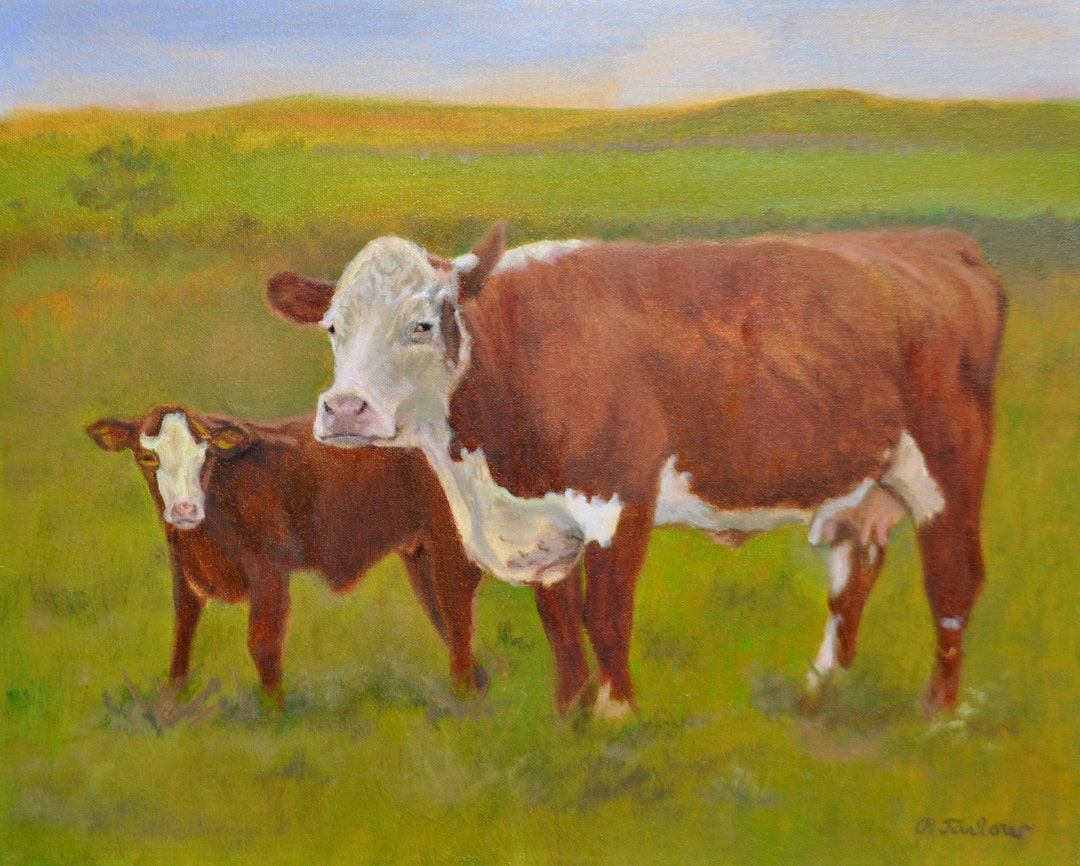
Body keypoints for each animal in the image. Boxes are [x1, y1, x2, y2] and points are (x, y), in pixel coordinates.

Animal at [86, 406, 489, 705]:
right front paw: (173, 702)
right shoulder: (184, 569)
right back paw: (477, 687)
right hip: (421, 555)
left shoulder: (268, 566)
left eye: (205, 455)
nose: (184, 509)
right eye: (147, 456)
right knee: (445, 615)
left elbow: (263, 642)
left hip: (451, 544)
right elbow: (183, 632)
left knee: (457, 612)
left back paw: (463, 700)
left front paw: (272, 713)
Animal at [266, 224, 1006, 718]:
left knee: (953, 580)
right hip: (862, 483)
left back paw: (939, 713)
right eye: (332, 327)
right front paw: (569, 718)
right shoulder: (545, 522)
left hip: (949, 462)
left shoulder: (618, 498)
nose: (345, 409)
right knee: (853, 578)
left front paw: (616, 715)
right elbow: (561, 625)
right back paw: (819, 690)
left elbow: (606, 617)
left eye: (421, 324)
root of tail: (935, 242)